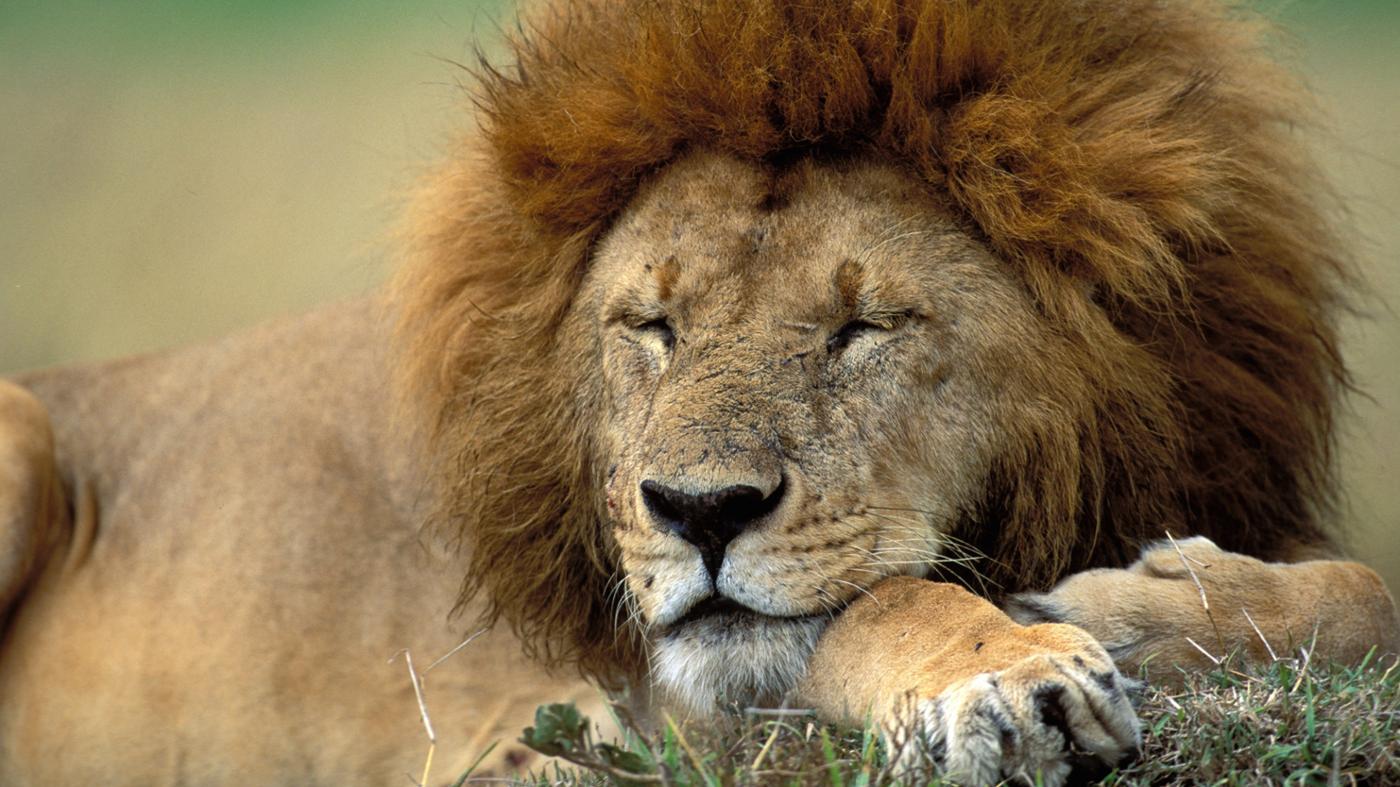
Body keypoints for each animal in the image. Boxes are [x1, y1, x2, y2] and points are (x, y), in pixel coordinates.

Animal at [2, 0, 1398, 784]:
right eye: (653, 327)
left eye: (861, 328)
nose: (696, 511)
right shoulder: (631, 718)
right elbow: (881, 599)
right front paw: (1008, 670)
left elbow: (1370, 592)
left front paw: (1161, 611)